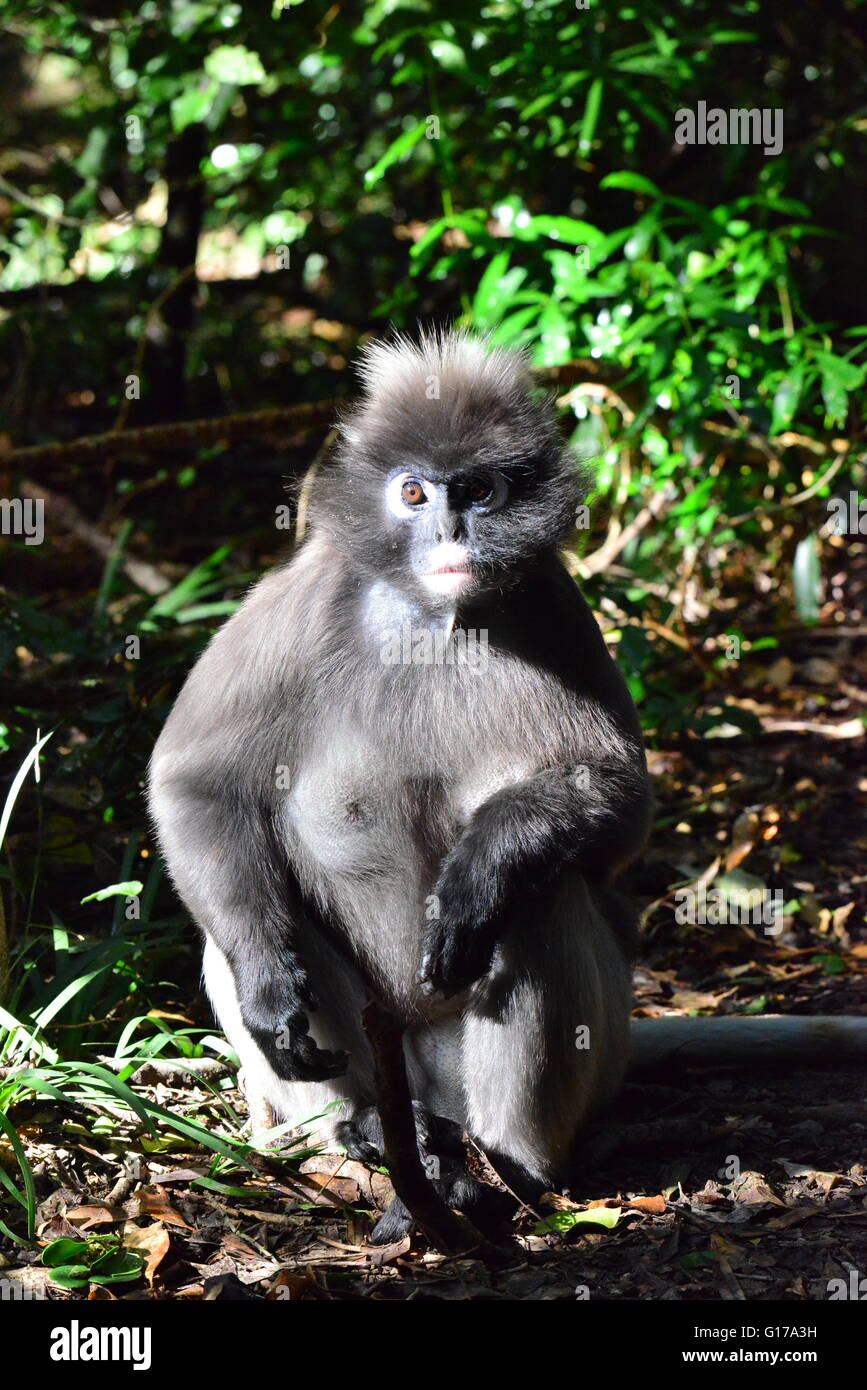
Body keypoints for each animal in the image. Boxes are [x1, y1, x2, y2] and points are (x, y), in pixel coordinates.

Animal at [149, 329, 867, 1242]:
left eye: (478, 492)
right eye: (413, 492)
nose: (449, 528)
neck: (430, 618)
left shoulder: (553, 605)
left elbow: (619, 812)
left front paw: (476, 872)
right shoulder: (301, 598)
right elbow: (196, 782)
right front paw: (274, 989)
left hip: (573, 1054)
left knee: (537, 900)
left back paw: (500, 1167)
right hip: (388, 1052)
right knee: (242, 931)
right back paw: (370, 1135)